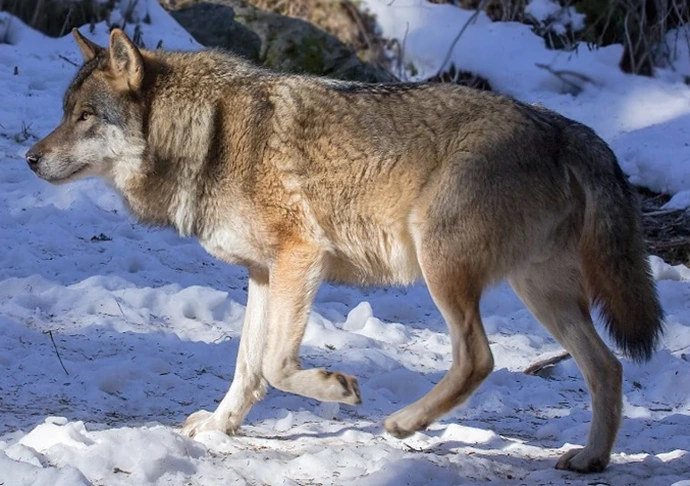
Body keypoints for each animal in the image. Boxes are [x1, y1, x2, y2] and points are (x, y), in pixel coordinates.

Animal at [26, 28, 663, 473]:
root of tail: (569, 129)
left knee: (479, 359)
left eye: (85, 117)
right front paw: (217, 427)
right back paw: (590, 459)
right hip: (540, 295)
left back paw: (403, 424)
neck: (208, 138)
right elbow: (247, 368)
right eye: (64, 114)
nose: (29, 158)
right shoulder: (263, 274)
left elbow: (276, 365)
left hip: (443, 269)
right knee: (606, 367)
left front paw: (336, 389)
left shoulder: (300, 258)